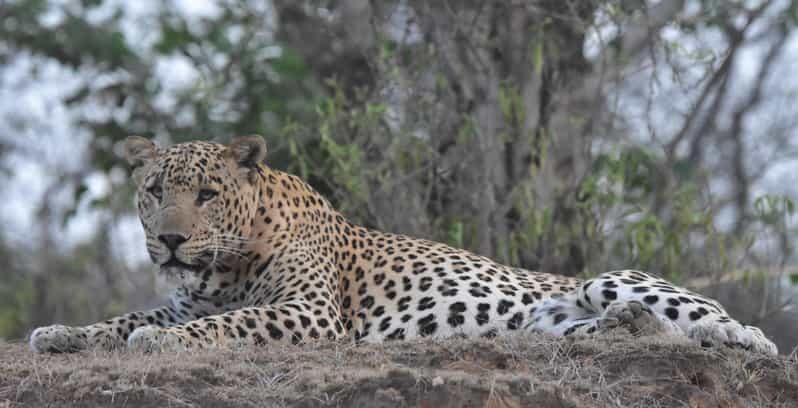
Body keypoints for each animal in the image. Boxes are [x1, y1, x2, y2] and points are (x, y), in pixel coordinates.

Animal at [29, 135, 778, 355]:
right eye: (155, 190)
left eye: (207, 195)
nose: (170, 240)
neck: (221, 271)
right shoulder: (186, 299)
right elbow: (123, 317)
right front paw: (62, 332)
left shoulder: (310, 312)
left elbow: (230, 324)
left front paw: (158, 343)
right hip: (554, 321)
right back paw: (626, 327)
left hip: (612, 275)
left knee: (738, 329)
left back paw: (729, 336)